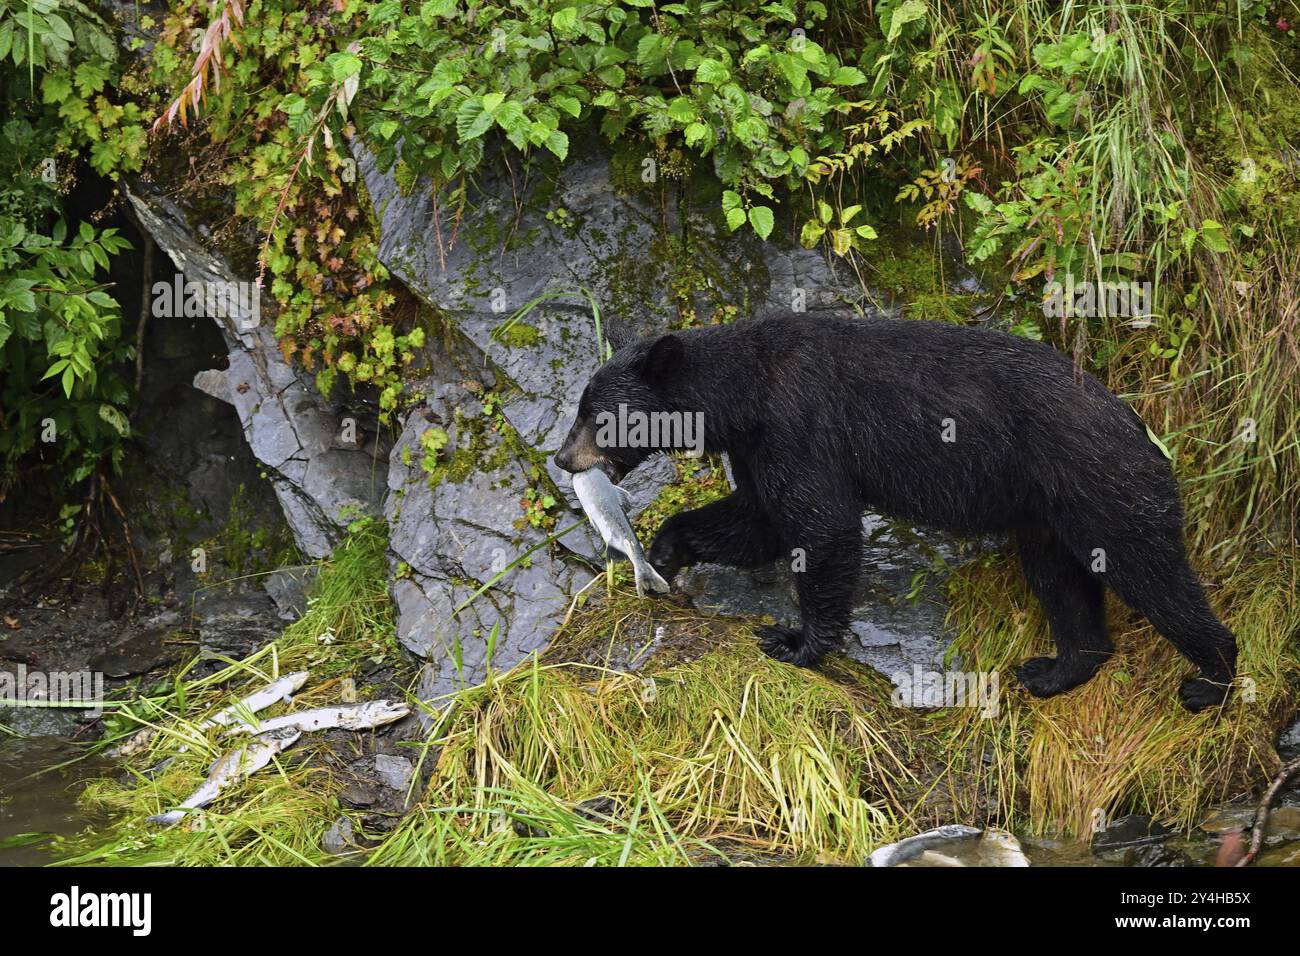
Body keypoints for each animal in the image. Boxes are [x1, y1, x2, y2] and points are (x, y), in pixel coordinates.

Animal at [553, 314, 1238, 712]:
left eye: (597, 414)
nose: (562, 458)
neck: (744, 390)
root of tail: (1145, 433)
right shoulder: (758, 444)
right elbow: (759, 519)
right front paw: (664, 550)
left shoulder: (799, 424)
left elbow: (821, 526)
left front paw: (794, 641)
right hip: (1048, 515)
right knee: (1062, 585)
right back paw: (1054, 669)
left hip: (1103, 487)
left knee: (1153, 575)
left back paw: (1212, 678)